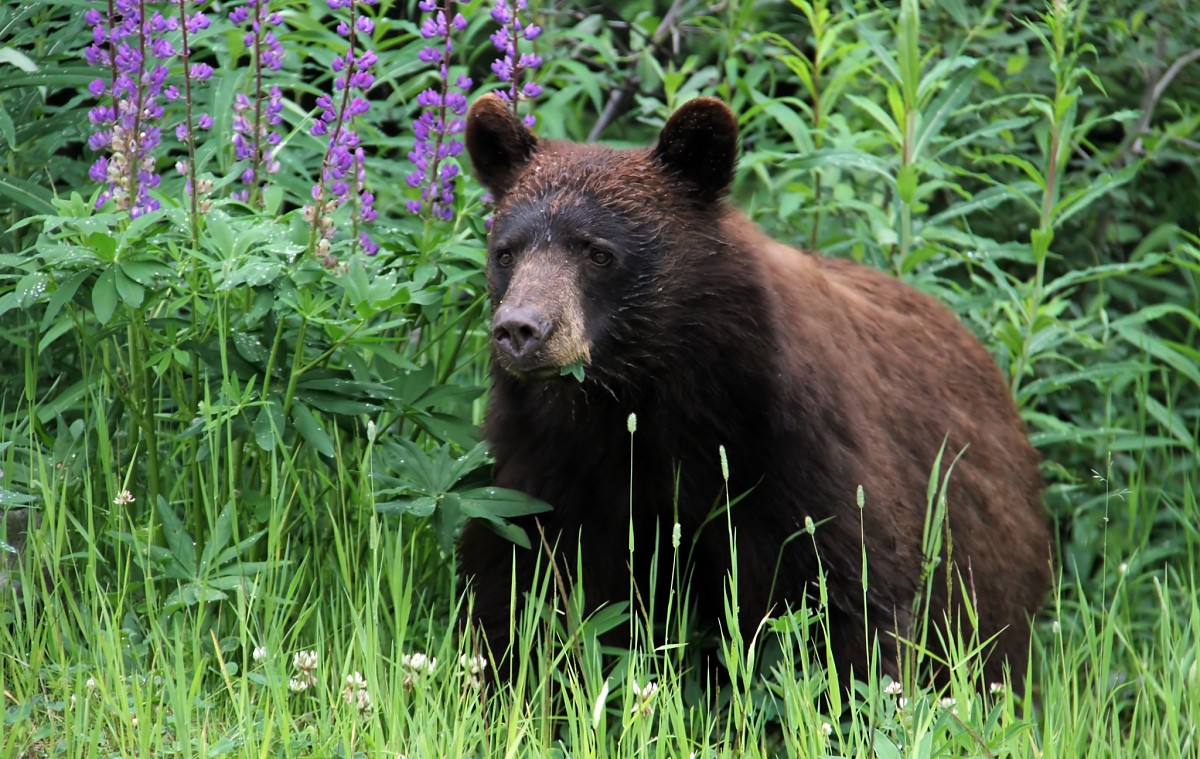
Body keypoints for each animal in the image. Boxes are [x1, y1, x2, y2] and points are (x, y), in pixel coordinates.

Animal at [457, 93, 1052, 688]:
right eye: (506, 252)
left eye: (598, 253)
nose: (521, 329)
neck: (648, 399)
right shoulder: (549, 462)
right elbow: (518, 585)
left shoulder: (796, 450)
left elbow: (851, 596)